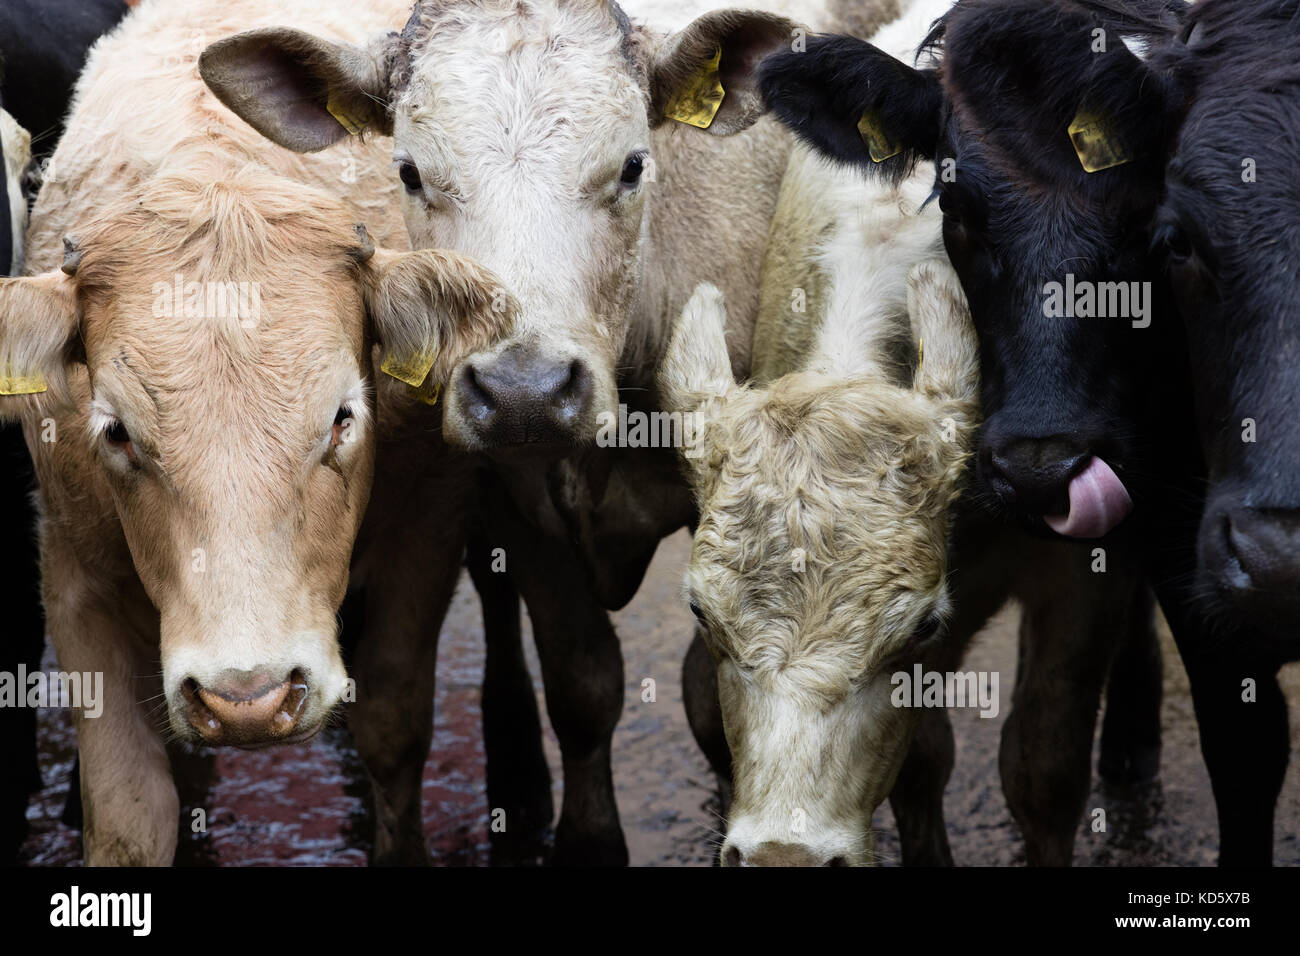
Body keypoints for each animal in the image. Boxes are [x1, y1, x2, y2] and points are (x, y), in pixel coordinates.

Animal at [5, 0, 514, 865]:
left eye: (343, 418)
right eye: (116, 433)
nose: (249, 698)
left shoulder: (428, 528)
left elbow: (393, 728)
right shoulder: (73, 570)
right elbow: (130, 811)